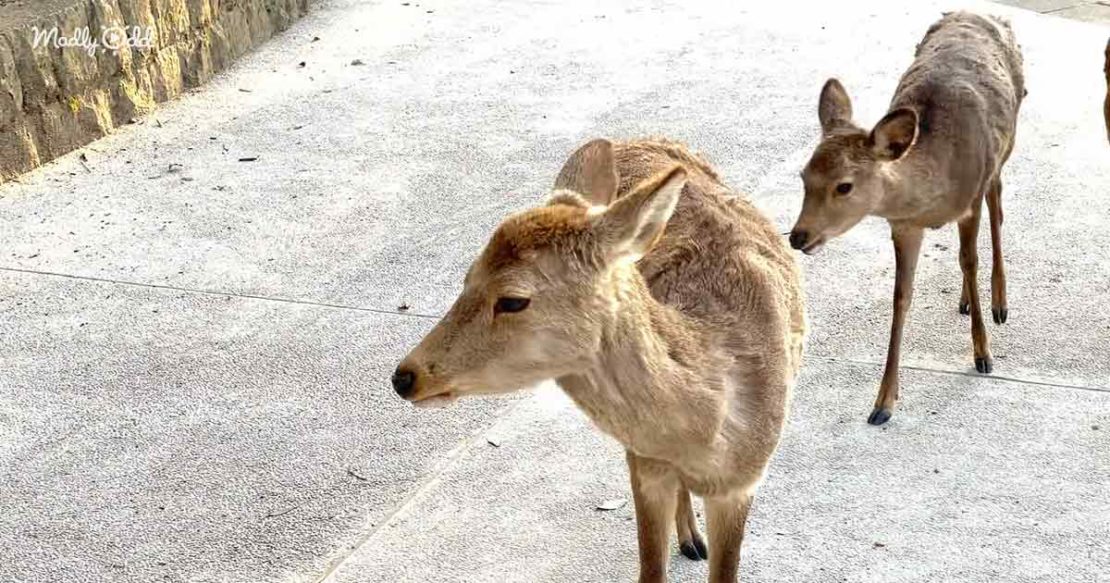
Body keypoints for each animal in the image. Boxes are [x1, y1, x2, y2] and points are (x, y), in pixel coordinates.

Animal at [392, 138, 806, 582]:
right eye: (467, 277)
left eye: (513, 300)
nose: (405, 376)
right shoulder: (645, 466)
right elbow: (650, 569)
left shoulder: (744, 482)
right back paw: (690, 538)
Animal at [789, 11, 1025, 425]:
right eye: (803, 177)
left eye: (844, 186)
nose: (798, 236)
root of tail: (978, 12)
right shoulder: (904, 226)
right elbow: (902, 295)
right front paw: (883, 402)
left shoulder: (969, 200)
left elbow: (970, 260)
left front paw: (983, 355)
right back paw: (965, 301)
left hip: (1003, 151)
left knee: (997, 207)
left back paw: (999, 304)